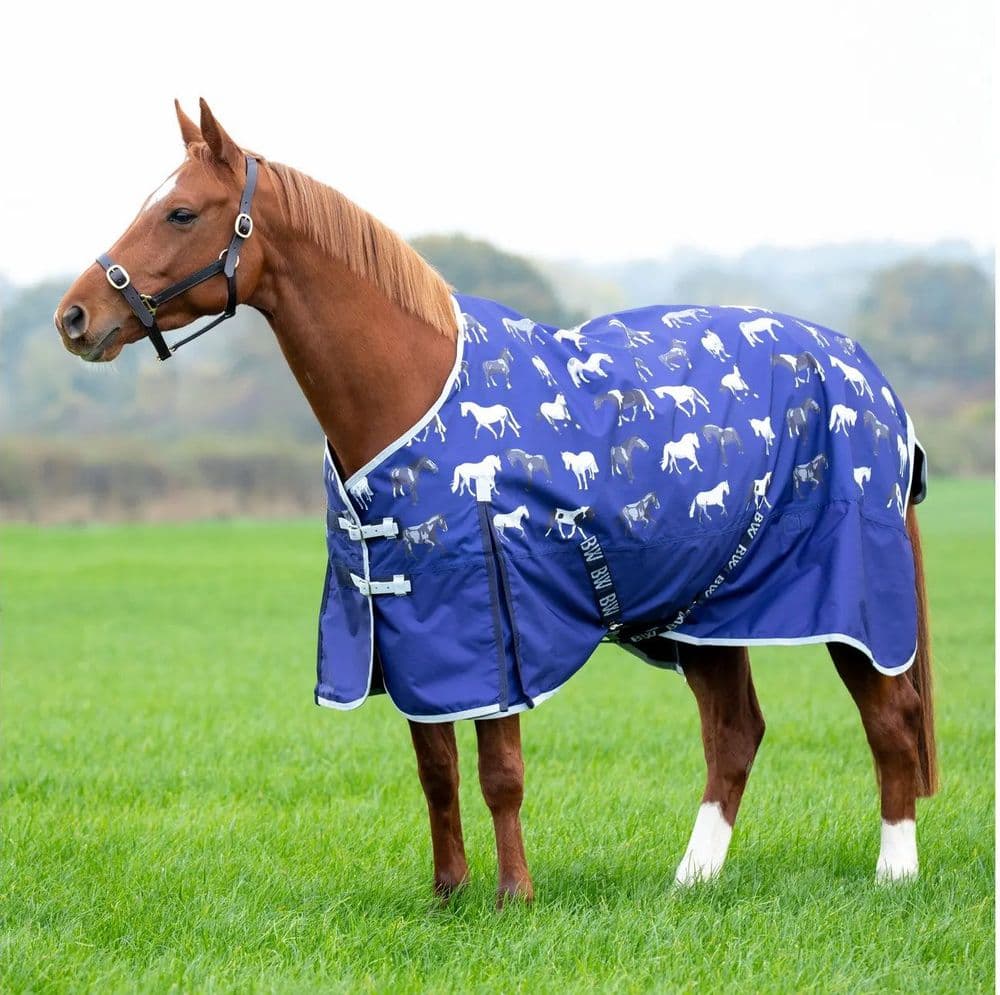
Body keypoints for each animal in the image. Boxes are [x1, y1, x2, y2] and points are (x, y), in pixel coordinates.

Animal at [55, 101, 936, 905]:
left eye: (180, 211)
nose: (74, 316)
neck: (413, 395)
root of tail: (865, 375)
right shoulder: (412, 630)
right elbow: (437, 769)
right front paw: (449, 891)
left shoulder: (493, 621)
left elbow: (499, 770)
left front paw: (515, 893)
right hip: (711, 612)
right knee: (735, 734)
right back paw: (691, 880)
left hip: (851, 603)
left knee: (890, 719)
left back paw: (894, 872)